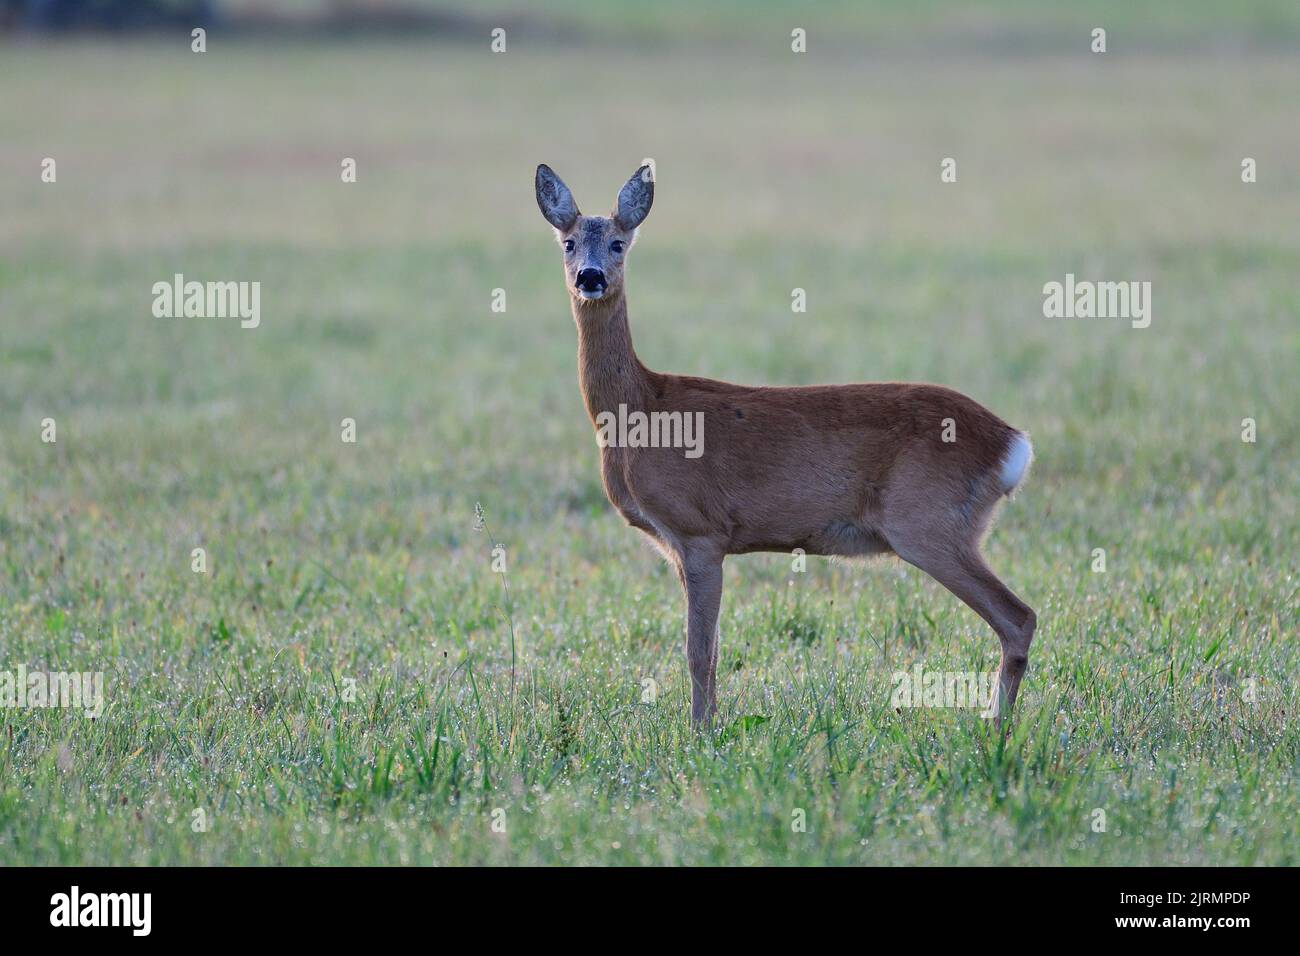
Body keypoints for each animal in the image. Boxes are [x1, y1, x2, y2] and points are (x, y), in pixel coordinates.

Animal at [535, 163, 1038, 729]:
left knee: (1019, 616)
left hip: (929, 523)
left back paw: (995, 724)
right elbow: (711, 649)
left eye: (619, 243)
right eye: (569, 242)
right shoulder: (685, 547)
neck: (640, 412)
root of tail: (1011, 444)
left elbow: (698, 651)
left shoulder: (699, 531)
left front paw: (700, 732)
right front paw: (709, 725)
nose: (590, 277)